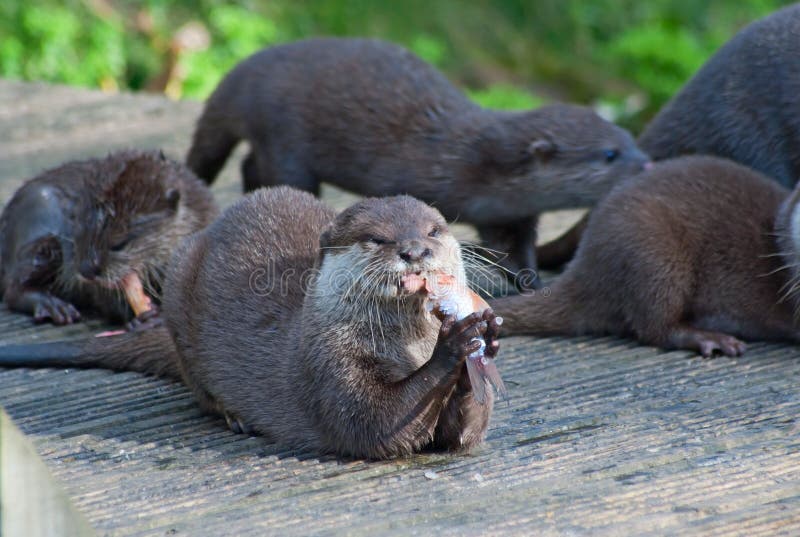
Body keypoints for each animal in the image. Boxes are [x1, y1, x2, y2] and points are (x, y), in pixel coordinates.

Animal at [0, 150, 217, 325]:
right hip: (41, 235)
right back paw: (52, 305)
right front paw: (143, 319)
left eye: (119, 244)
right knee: (13, 288)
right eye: (78, 233)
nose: (85, 270)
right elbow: (105, 298)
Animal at [0, 187, 503, 459]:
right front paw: (454, 344)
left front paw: (483, 341)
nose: (415, 249)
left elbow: (462, 433)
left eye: (434, 229)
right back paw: (235, 416)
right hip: (179, 286)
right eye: (377, 239)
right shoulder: (324, 362)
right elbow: (373, 423)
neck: (404, 347)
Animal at [186, 37, 650, 285]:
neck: (475, 162)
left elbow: (519, 248)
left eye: (629, 137)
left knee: (248, 163)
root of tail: (243, 76)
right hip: (285, 138)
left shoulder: (515, 215)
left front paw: (528, 280)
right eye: (610, 154)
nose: (646, 163)